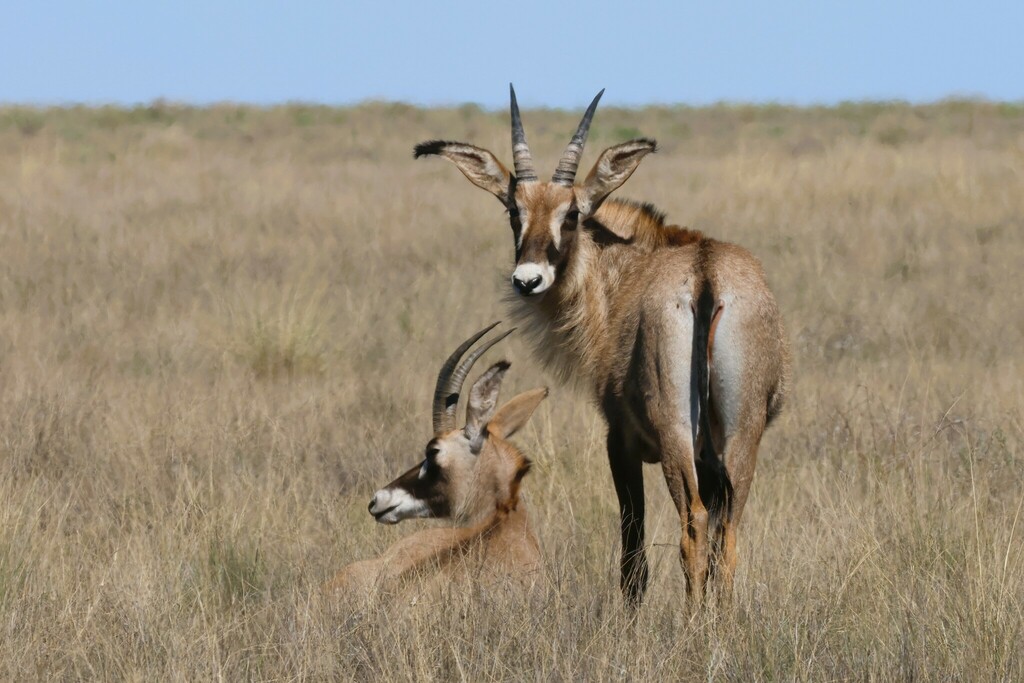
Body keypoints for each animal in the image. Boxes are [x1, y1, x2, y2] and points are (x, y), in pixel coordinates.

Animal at [413, 86, 790, 606]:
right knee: (726, 533)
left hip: (675, 434)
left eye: (571, 213)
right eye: (514, 211)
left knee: (693, 525)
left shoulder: (620, 438)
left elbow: (633, 556)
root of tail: (705, 274)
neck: (630, 266)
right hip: (742, 434)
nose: (528, 279)